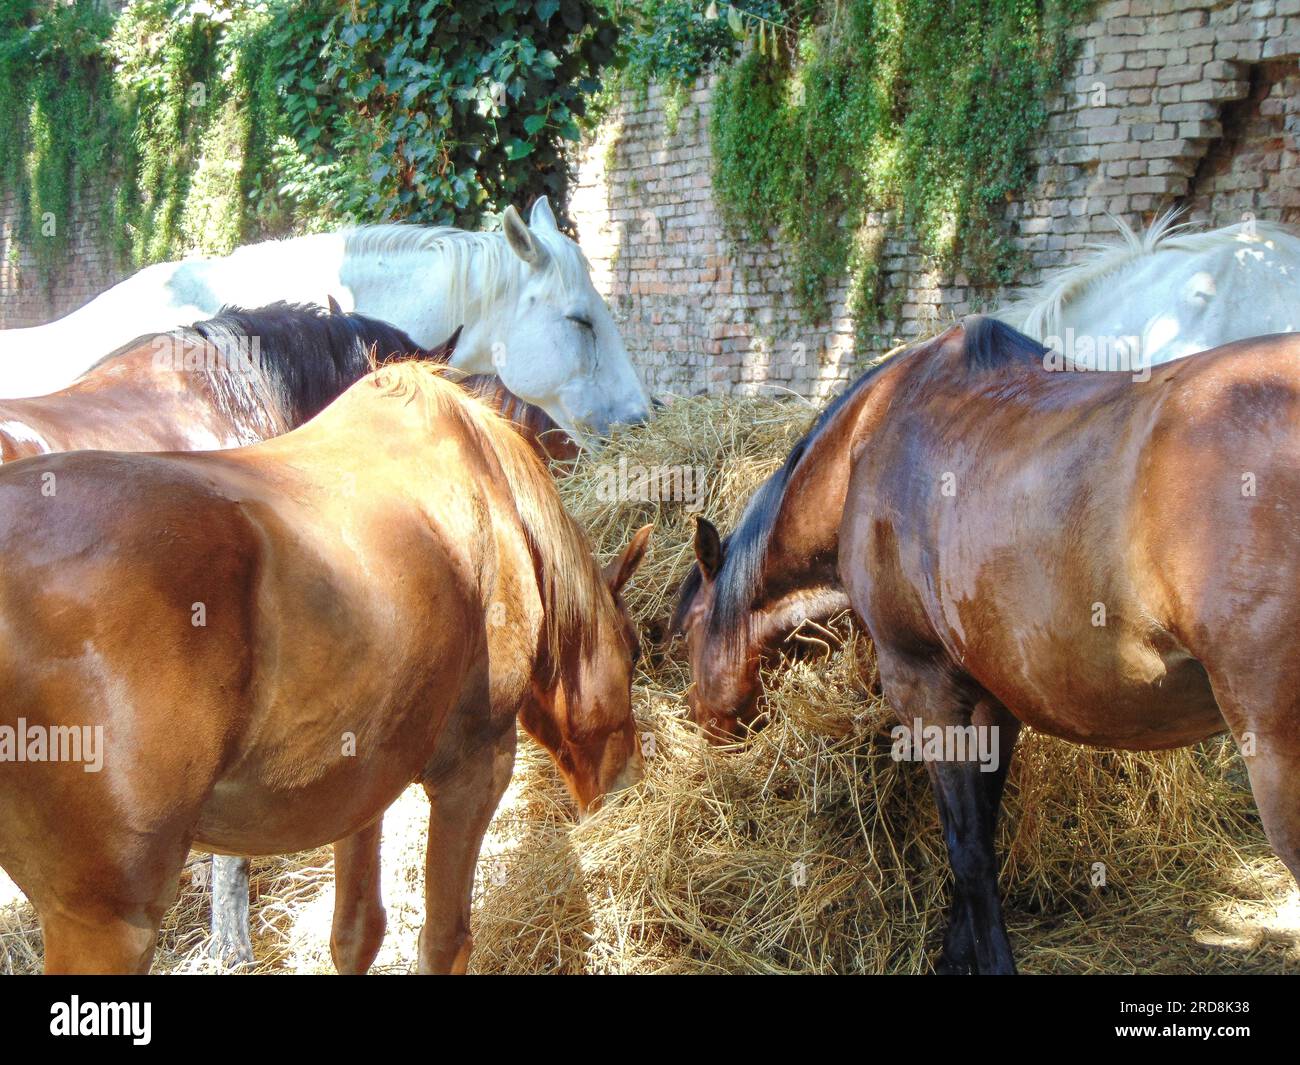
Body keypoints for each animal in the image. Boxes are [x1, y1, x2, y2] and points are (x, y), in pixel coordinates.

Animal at [0, 360, 651, 974]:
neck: (487, 497)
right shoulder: (474, 770)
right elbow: (445, 942)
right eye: (635, 651)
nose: (628, 781)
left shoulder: (365, 777)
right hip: (109, 925)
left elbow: (357, 934)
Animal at [679, 315, 1300, 973]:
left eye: (687, 629)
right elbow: (980, 834)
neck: (863, 447)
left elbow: (968, 849)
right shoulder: (991, 699)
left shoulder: (924, 690)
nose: (699, 724)